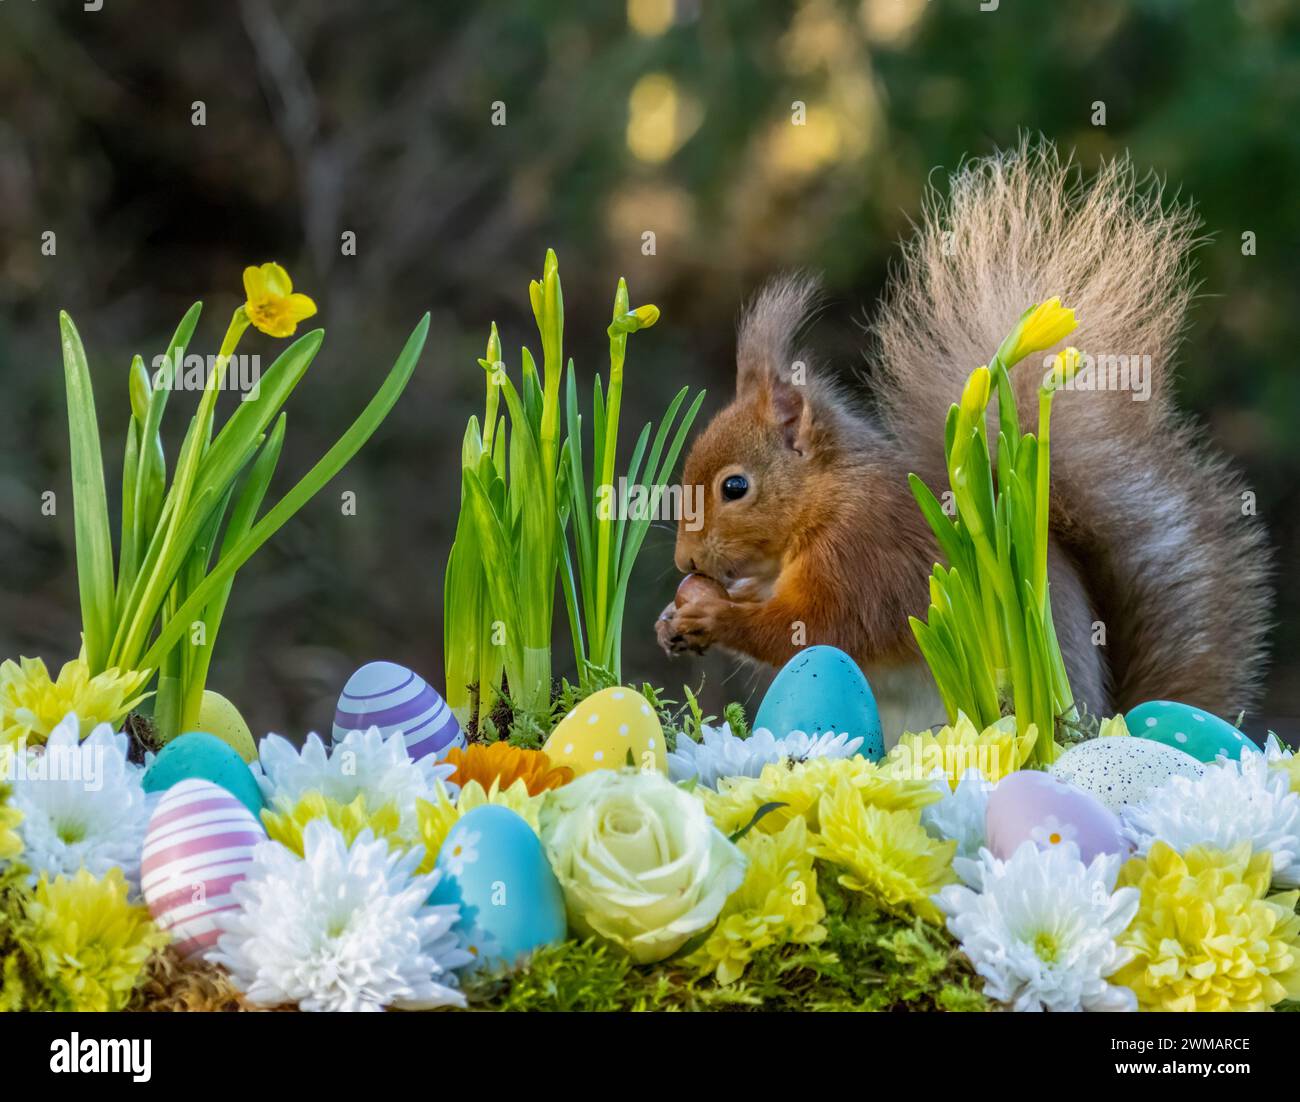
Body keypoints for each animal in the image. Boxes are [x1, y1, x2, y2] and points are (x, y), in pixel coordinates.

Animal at [656, 140, 1272, 737]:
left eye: (735, 487)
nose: (686, 561)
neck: (827, 499)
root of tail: (1098, 720)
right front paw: (675, 618)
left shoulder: (865, 558)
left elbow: (812, 629)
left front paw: (713, 616)